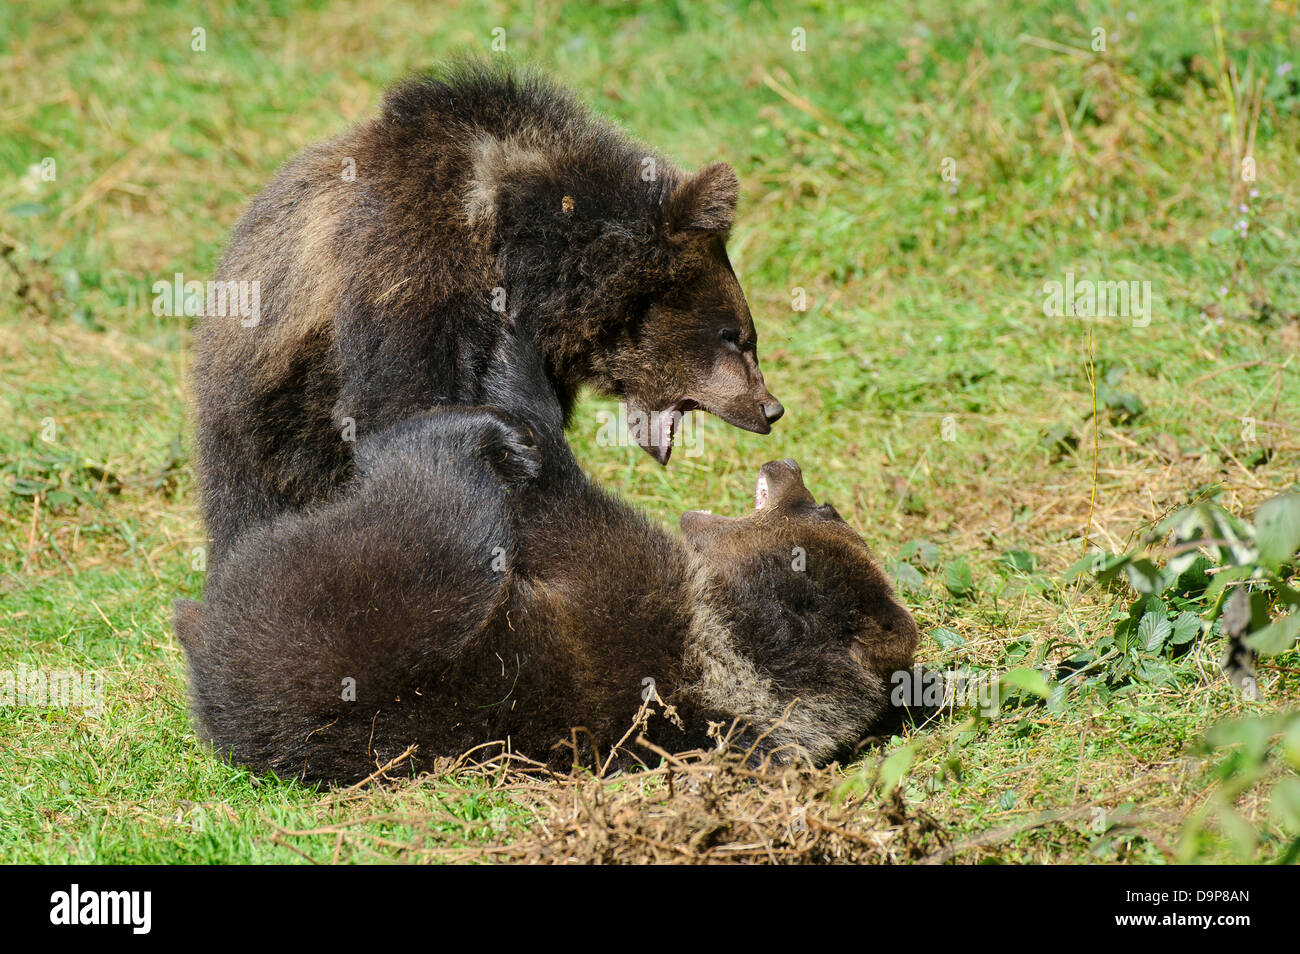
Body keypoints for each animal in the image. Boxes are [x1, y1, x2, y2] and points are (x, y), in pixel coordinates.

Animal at [174, 329, 917, 786]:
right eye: (830, 508)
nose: (787, 466)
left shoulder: (619, 587)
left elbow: (553, 499)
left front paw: (517, 383)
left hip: (367, 606)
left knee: (440, 503)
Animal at [193, 59, 783, 572]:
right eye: (734, 336)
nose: (770, 408)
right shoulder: (409, 261)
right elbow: (394, 408)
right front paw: (509, 443)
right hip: (266, 428)